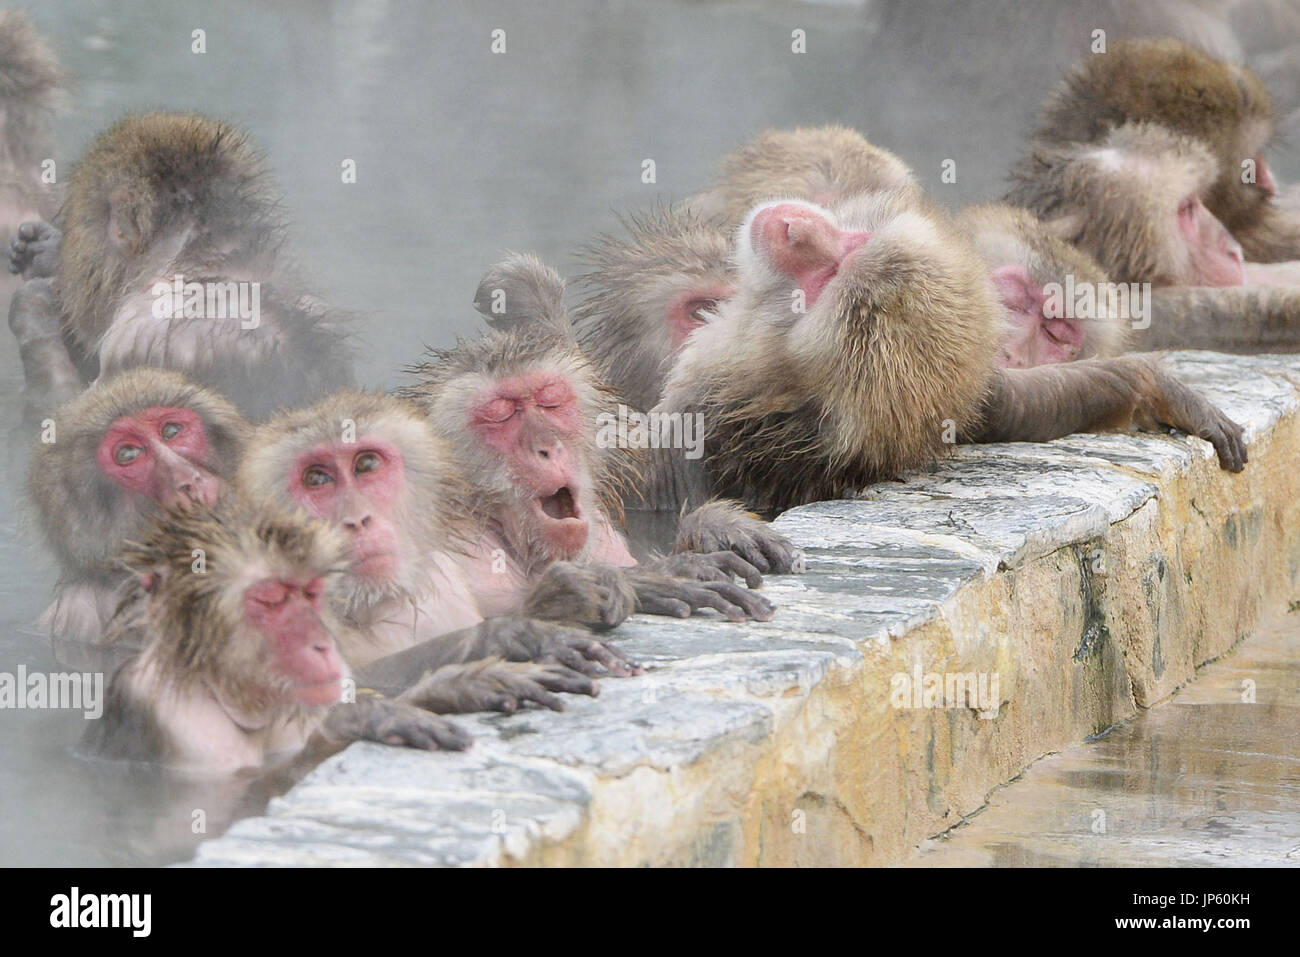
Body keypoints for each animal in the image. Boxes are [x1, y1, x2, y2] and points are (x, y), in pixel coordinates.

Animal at [84, 497, 594, 776]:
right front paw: (369, 717)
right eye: (271, 600)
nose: (320, 643)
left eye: (309, 593)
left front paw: (457, 684)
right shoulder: (180, 721)